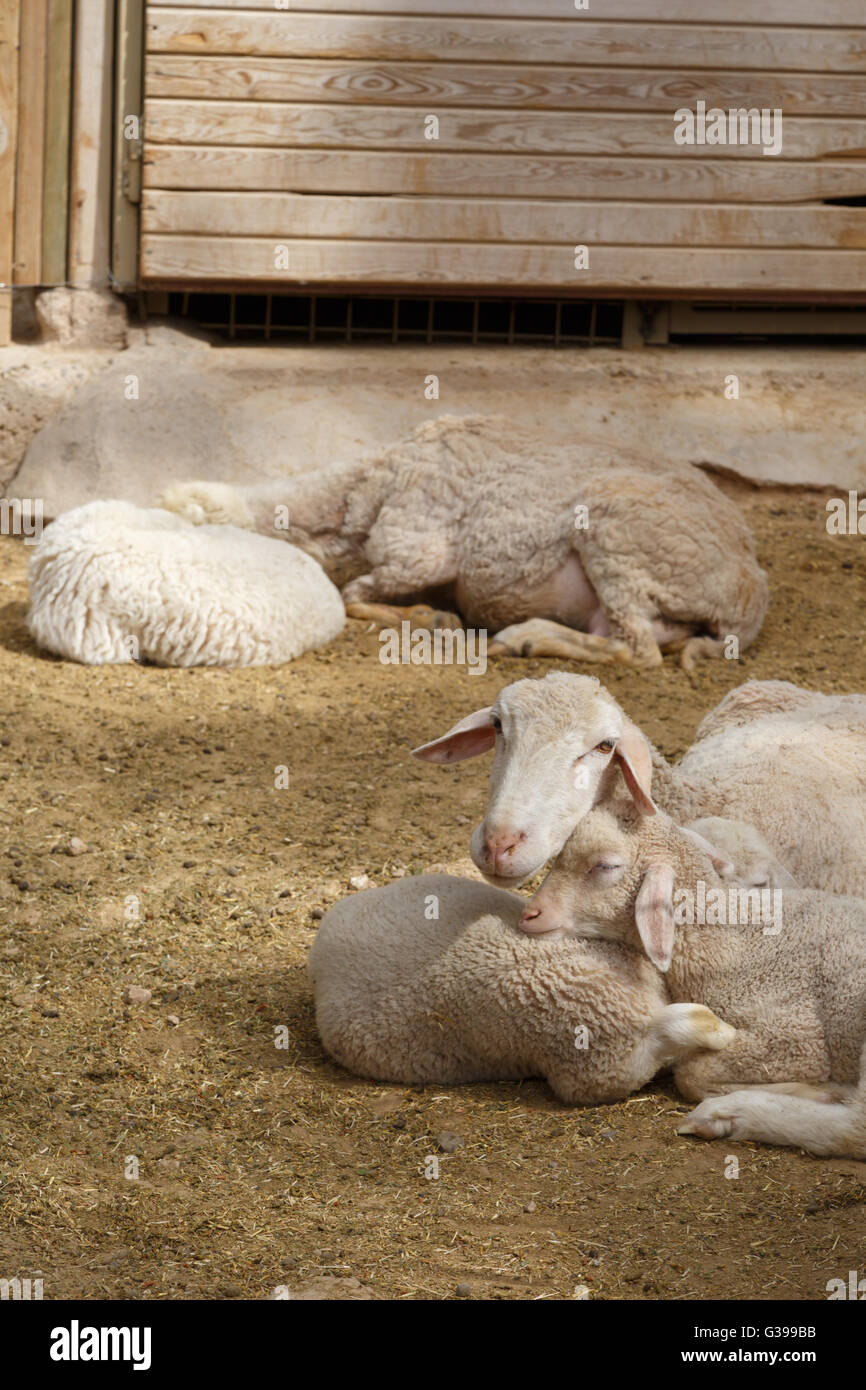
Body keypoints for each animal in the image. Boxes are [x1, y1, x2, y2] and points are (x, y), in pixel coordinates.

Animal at [159, 414, 768, 670]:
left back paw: (521, 640)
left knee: (636, 650)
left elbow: (353, 594)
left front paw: (427, 619)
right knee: (647, 638)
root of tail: (748, 597)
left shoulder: (414, 550)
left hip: (619, 528)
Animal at [522, 802, 866, 1157]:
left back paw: (725, 1114)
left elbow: (691, 1074)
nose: (529, 914)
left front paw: (816, 1088)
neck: (737, 940)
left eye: (605, 866)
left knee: (856, 1127)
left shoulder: (799, 1035)